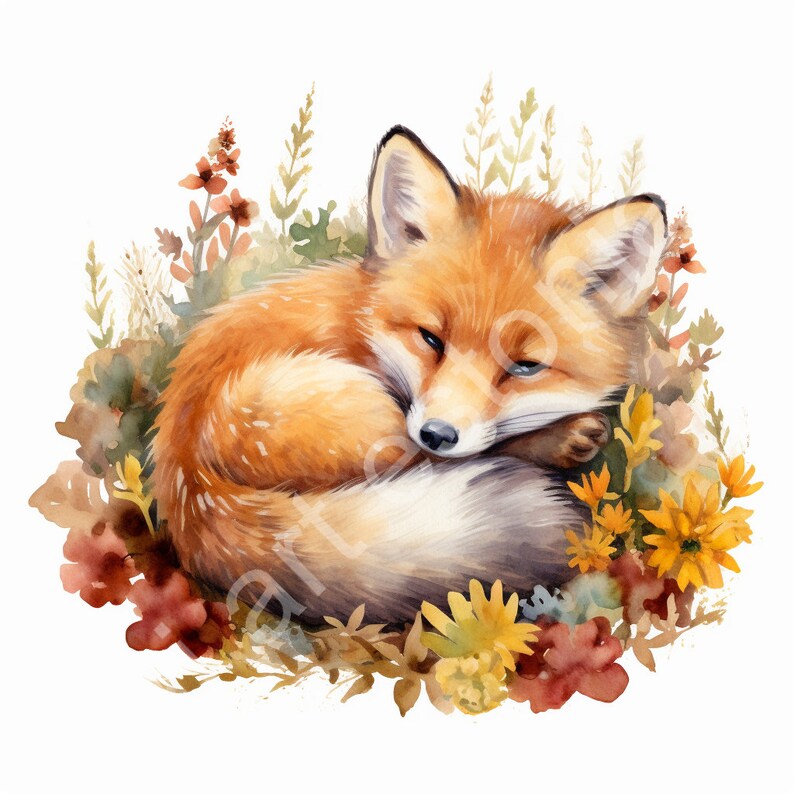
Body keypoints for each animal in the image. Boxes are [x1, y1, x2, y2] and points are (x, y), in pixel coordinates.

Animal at [152, 126, 667, 627]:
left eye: (525, 365)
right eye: (431, 338)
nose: (438, 433)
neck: (361, 324)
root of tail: (185, 481)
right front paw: (556, 438)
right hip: (370, 421)